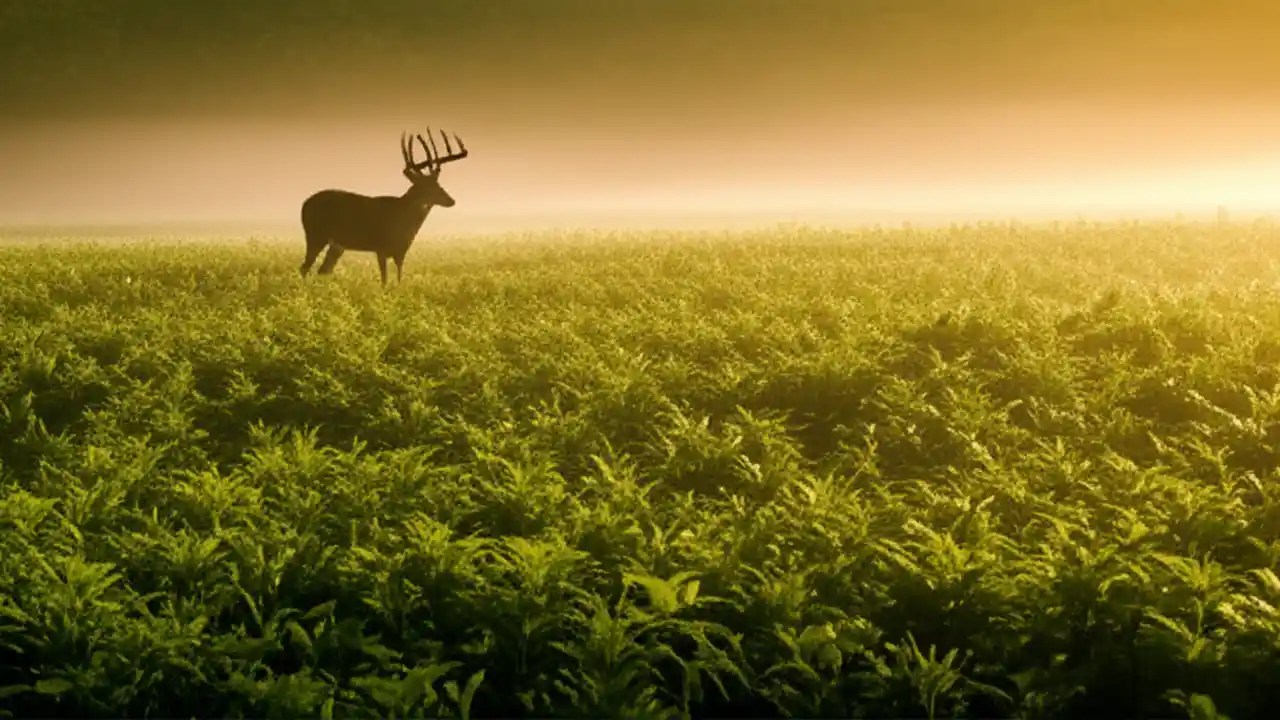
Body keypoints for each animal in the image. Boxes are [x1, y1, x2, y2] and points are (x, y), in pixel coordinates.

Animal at [299, 128, 469, 285]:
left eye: (438, 185)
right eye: (430, 186)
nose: (451, 201)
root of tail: (304, 204)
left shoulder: (401, 251)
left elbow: (399, 279)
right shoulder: (381, 248)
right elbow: (385, 280)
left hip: (336, 245)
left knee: (322, 269)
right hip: (315, 234)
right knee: (305, 267)